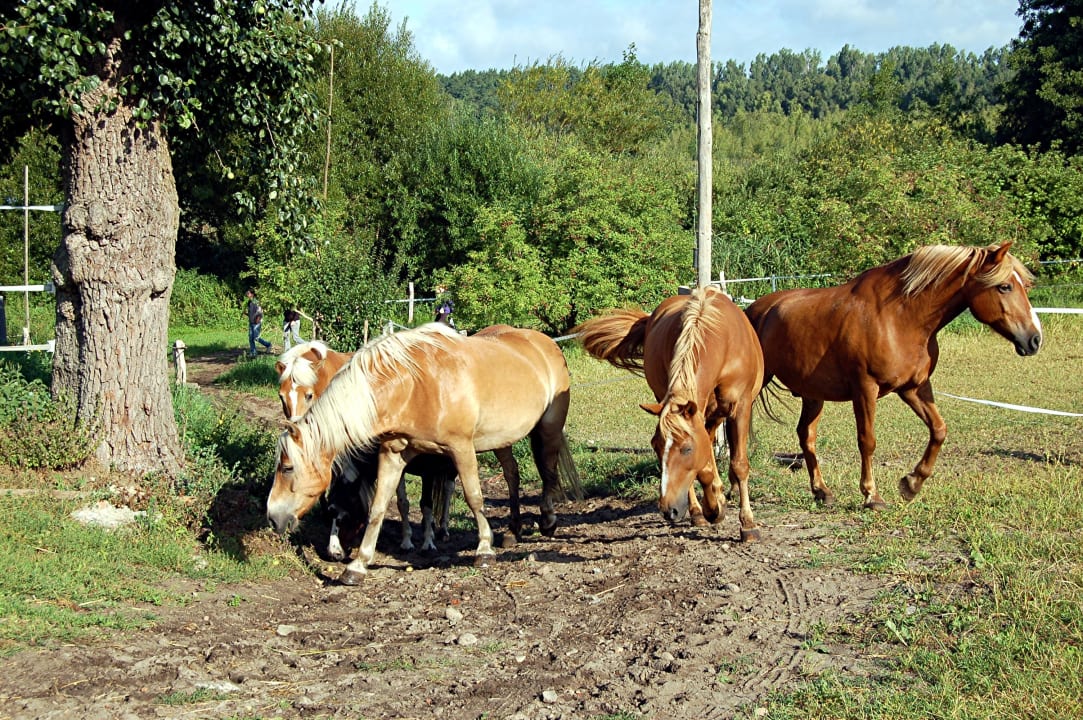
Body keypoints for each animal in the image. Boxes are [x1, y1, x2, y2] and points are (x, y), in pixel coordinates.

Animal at [276, 341, 456, 557]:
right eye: (281, 397)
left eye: (309, 395)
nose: (333, 554)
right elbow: (402, 502)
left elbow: (426, 504)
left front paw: (427, 542)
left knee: (448, 489)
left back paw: (443, 529)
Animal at [574, 286, 764, 541]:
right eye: (655, 446)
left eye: (687, 449)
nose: (667, 509)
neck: (722, 341)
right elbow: (704, 468)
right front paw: (712, 507)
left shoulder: (740, 408)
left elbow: (739, 465)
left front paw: (747, 524)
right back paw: (699, 511)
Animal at [744, 242, 1043, 510]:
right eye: (1004, 286)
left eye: (1025, 287)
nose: (1034, 340)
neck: (900, 318)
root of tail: (753, 310)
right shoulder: (865, 389)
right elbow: (867, 441)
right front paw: (872, 496)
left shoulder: (915, 388)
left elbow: (939, 430)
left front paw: (912, 484)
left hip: (813, 394)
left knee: (806, 436)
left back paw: (822, 492)